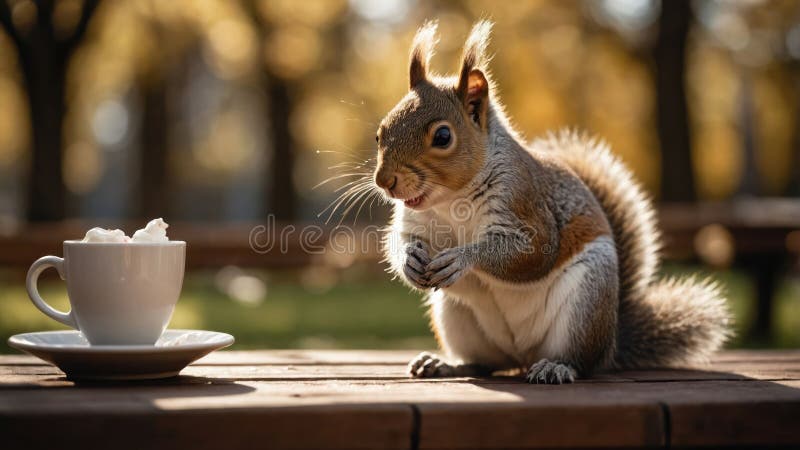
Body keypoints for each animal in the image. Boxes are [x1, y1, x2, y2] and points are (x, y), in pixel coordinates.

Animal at [373, 20, 731, 384]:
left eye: (443, 137)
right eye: (380, 132)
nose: (384, 181)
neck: (451, 199)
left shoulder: (525, 204)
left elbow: (531, 253)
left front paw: (462, 258)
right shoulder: (415, 222)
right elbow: (400, 241)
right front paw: (409, 260)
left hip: (586, 303)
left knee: (578, 360)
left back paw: (556, 366)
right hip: (457, 317)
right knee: (485, 363)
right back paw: (444, 364)